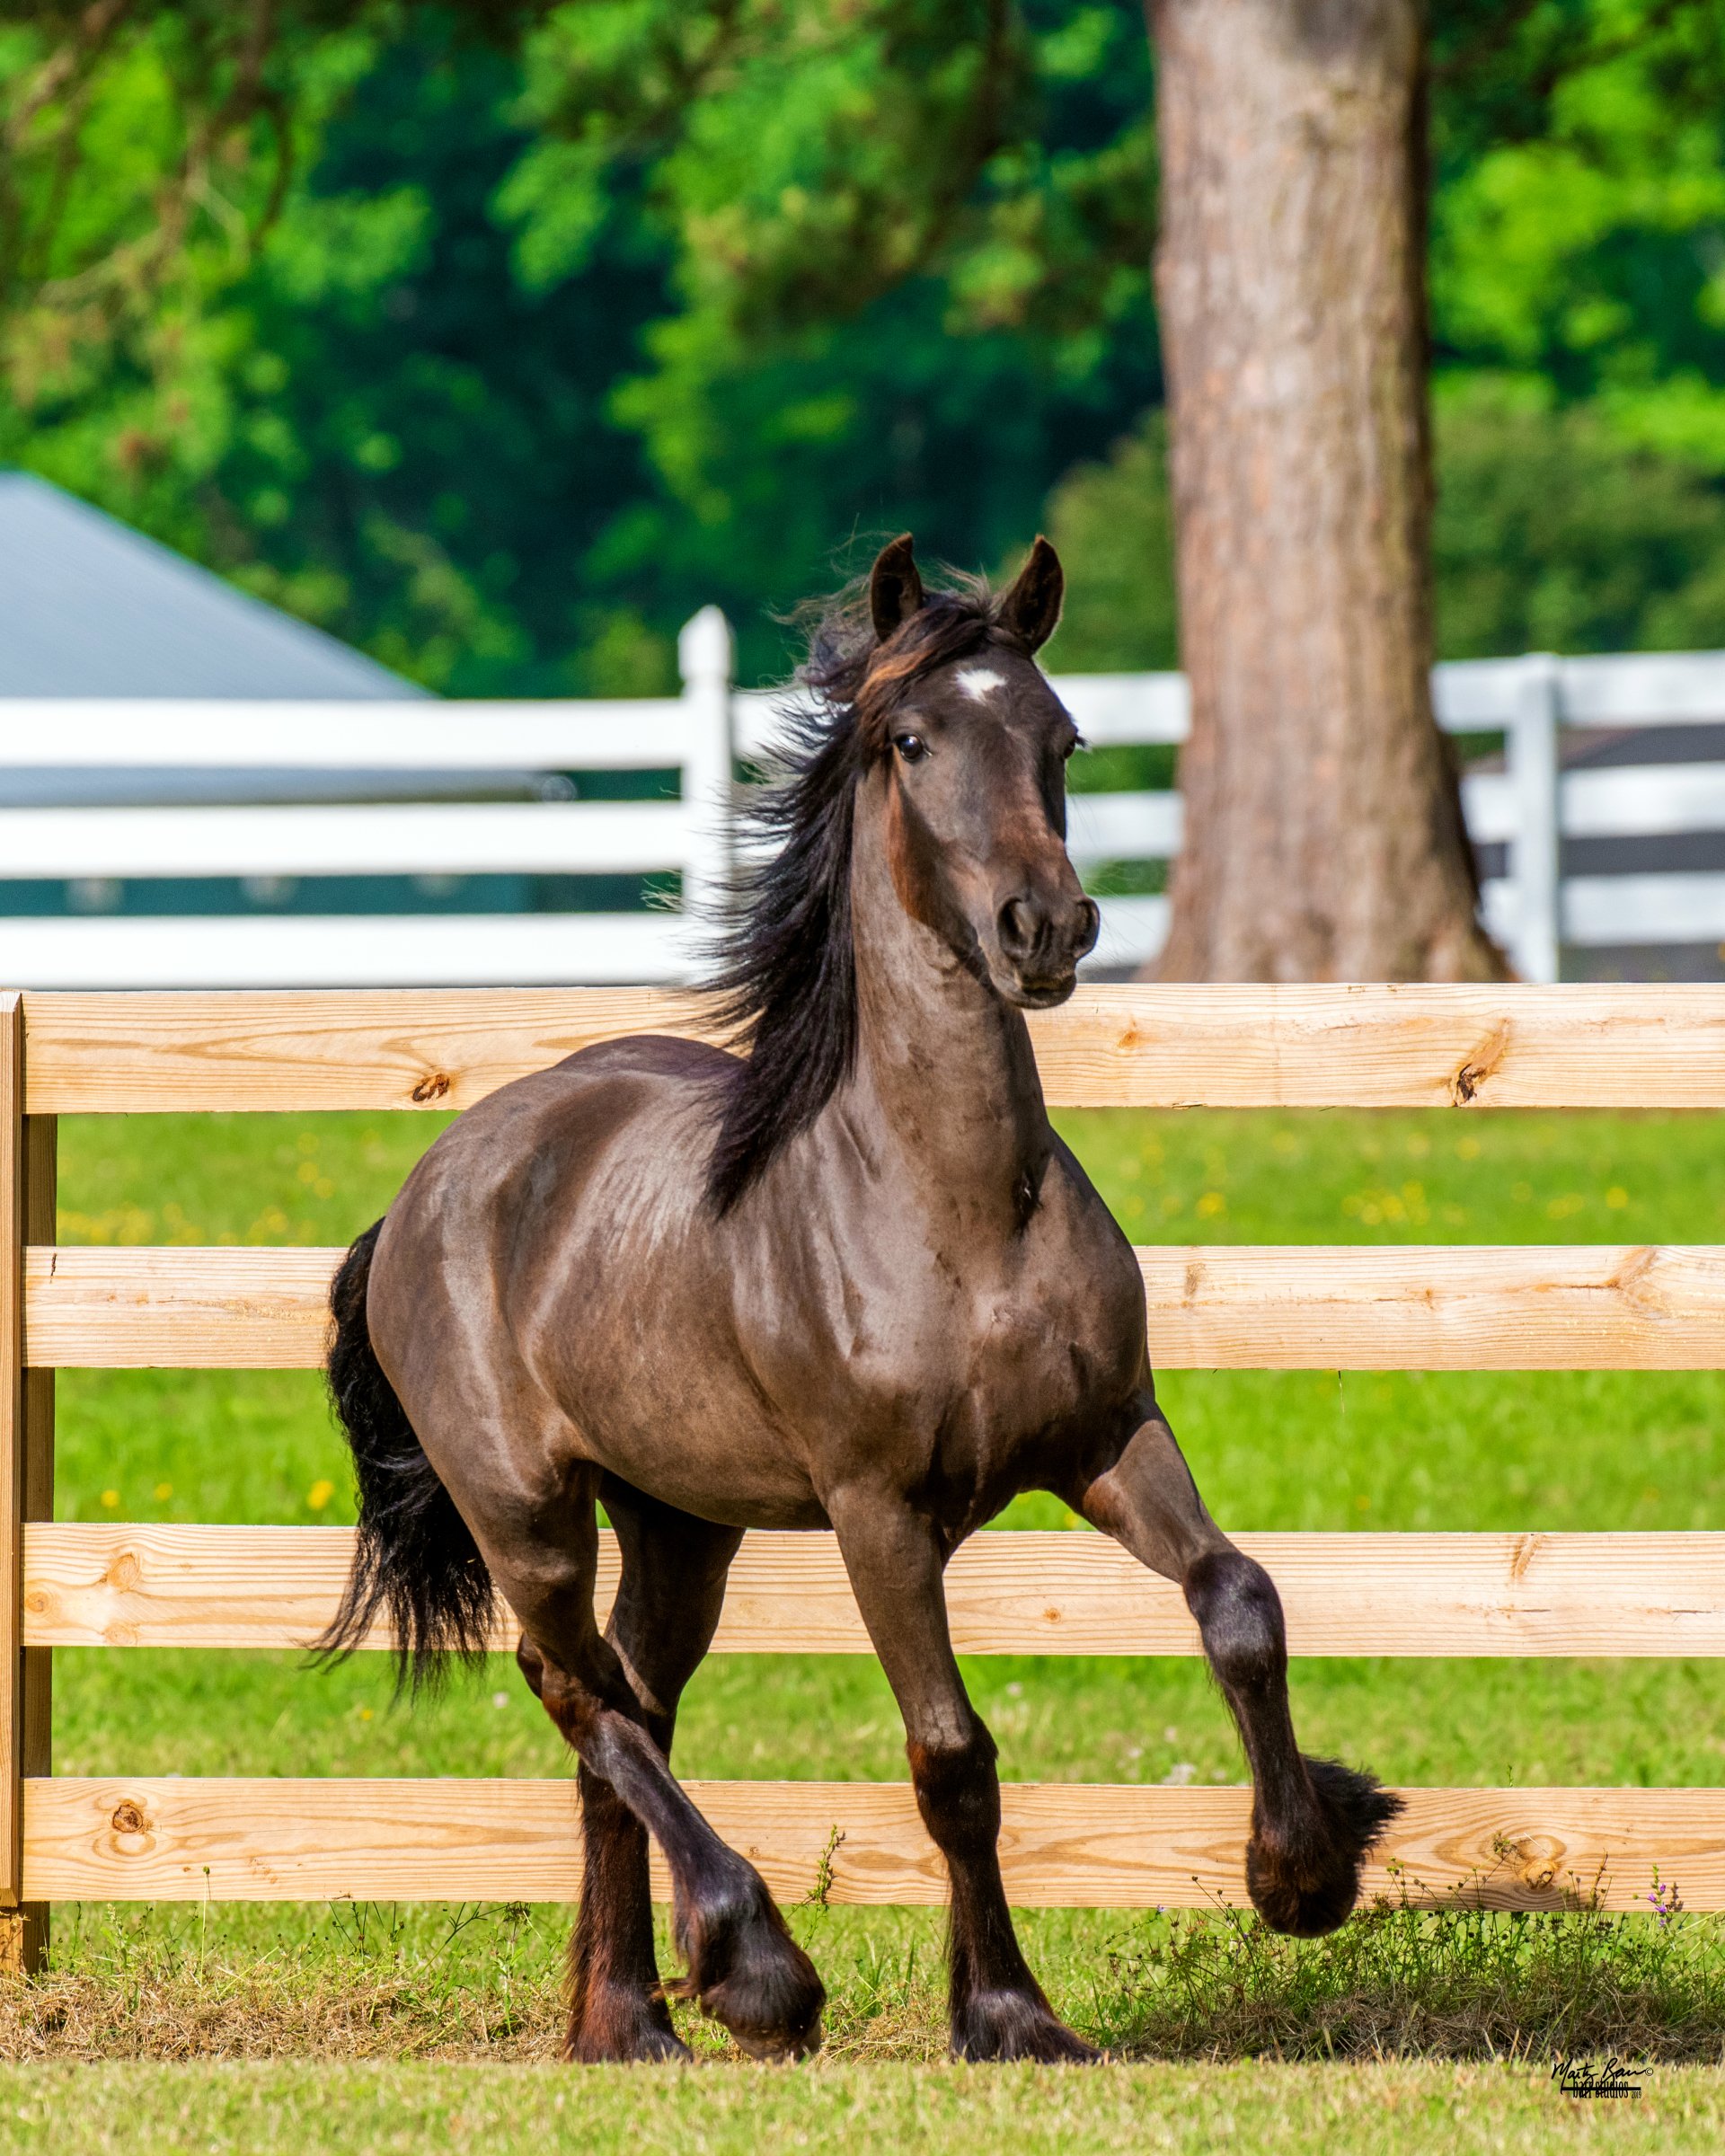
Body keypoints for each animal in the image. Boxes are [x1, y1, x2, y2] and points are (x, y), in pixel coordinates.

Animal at [319, 533, 1400, 2065]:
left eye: (1063, 734)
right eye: (911, 739)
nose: (1045, 927)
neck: (958, 1218)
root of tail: (429, 1189)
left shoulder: (1107, 1441)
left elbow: (1240, 1600)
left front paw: (1303, 1873)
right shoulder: (876, 1512)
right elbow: (951, 1756)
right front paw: (1008, 2013)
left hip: (681, 1525)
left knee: (628, 1708)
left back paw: (630, 2021)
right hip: (526, 1514)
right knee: (580, 1693)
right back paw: (752, 1968)